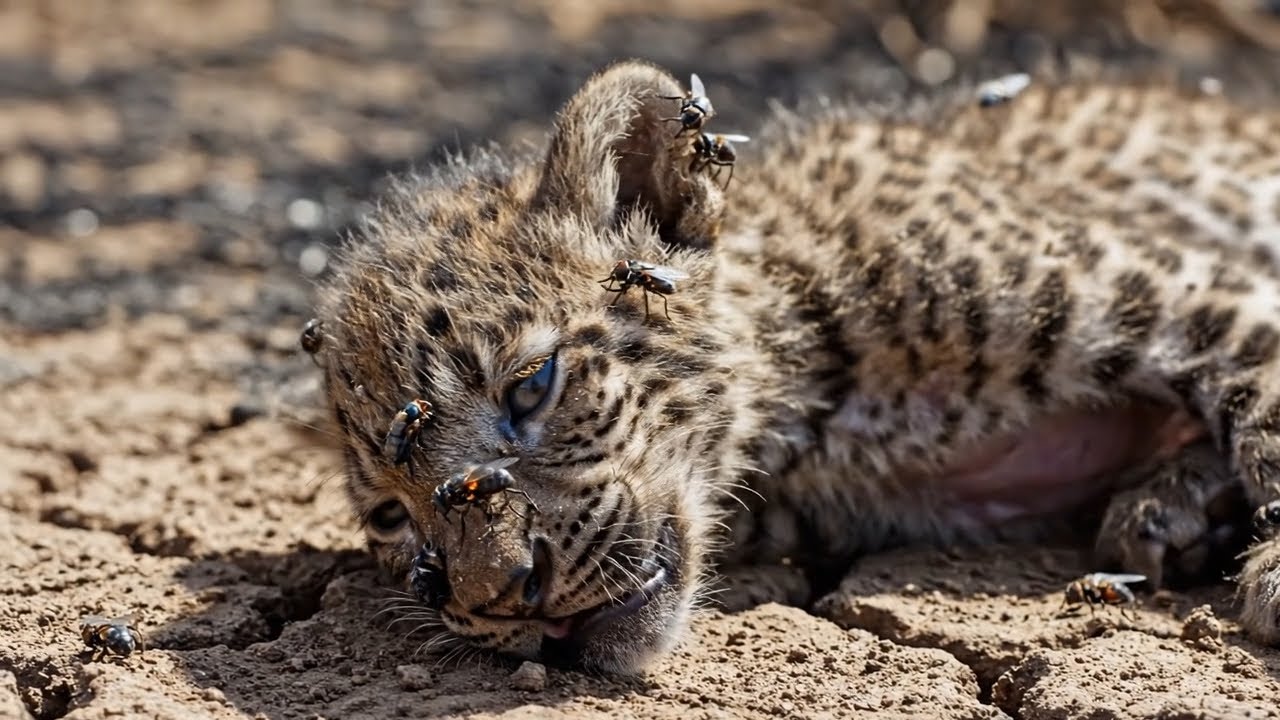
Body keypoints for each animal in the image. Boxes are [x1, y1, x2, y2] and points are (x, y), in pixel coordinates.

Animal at [309, 59, 1280, 674]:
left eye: (531, 386)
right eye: (392, 519)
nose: (505, 594)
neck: (818, 414)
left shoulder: (1179, 289)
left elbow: (1263, 403)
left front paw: (1274, 575)